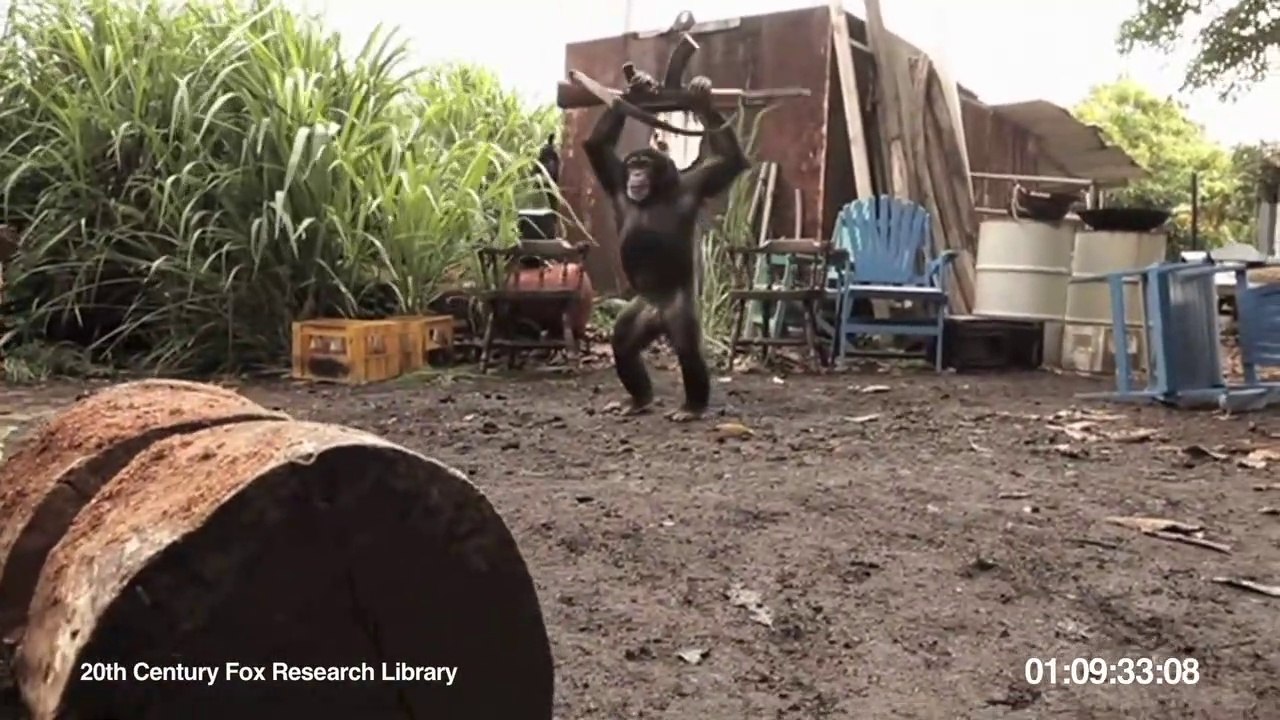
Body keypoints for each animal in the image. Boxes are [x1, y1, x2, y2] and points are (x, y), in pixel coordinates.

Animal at [583, 71, 749, 422]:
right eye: (632, 164)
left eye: (645, 164)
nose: (635, 174)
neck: (654, 195)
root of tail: (657, 314)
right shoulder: (614, 179)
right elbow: (597, 146)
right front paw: (636, 89)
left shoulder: (698, 183)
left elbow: (729, 160)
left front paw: (700, 95)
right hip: (639, 310)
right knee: (623, 342)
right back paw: (639, 399)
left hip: (680, 310)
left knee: (688, 350)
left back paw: (692, 407)